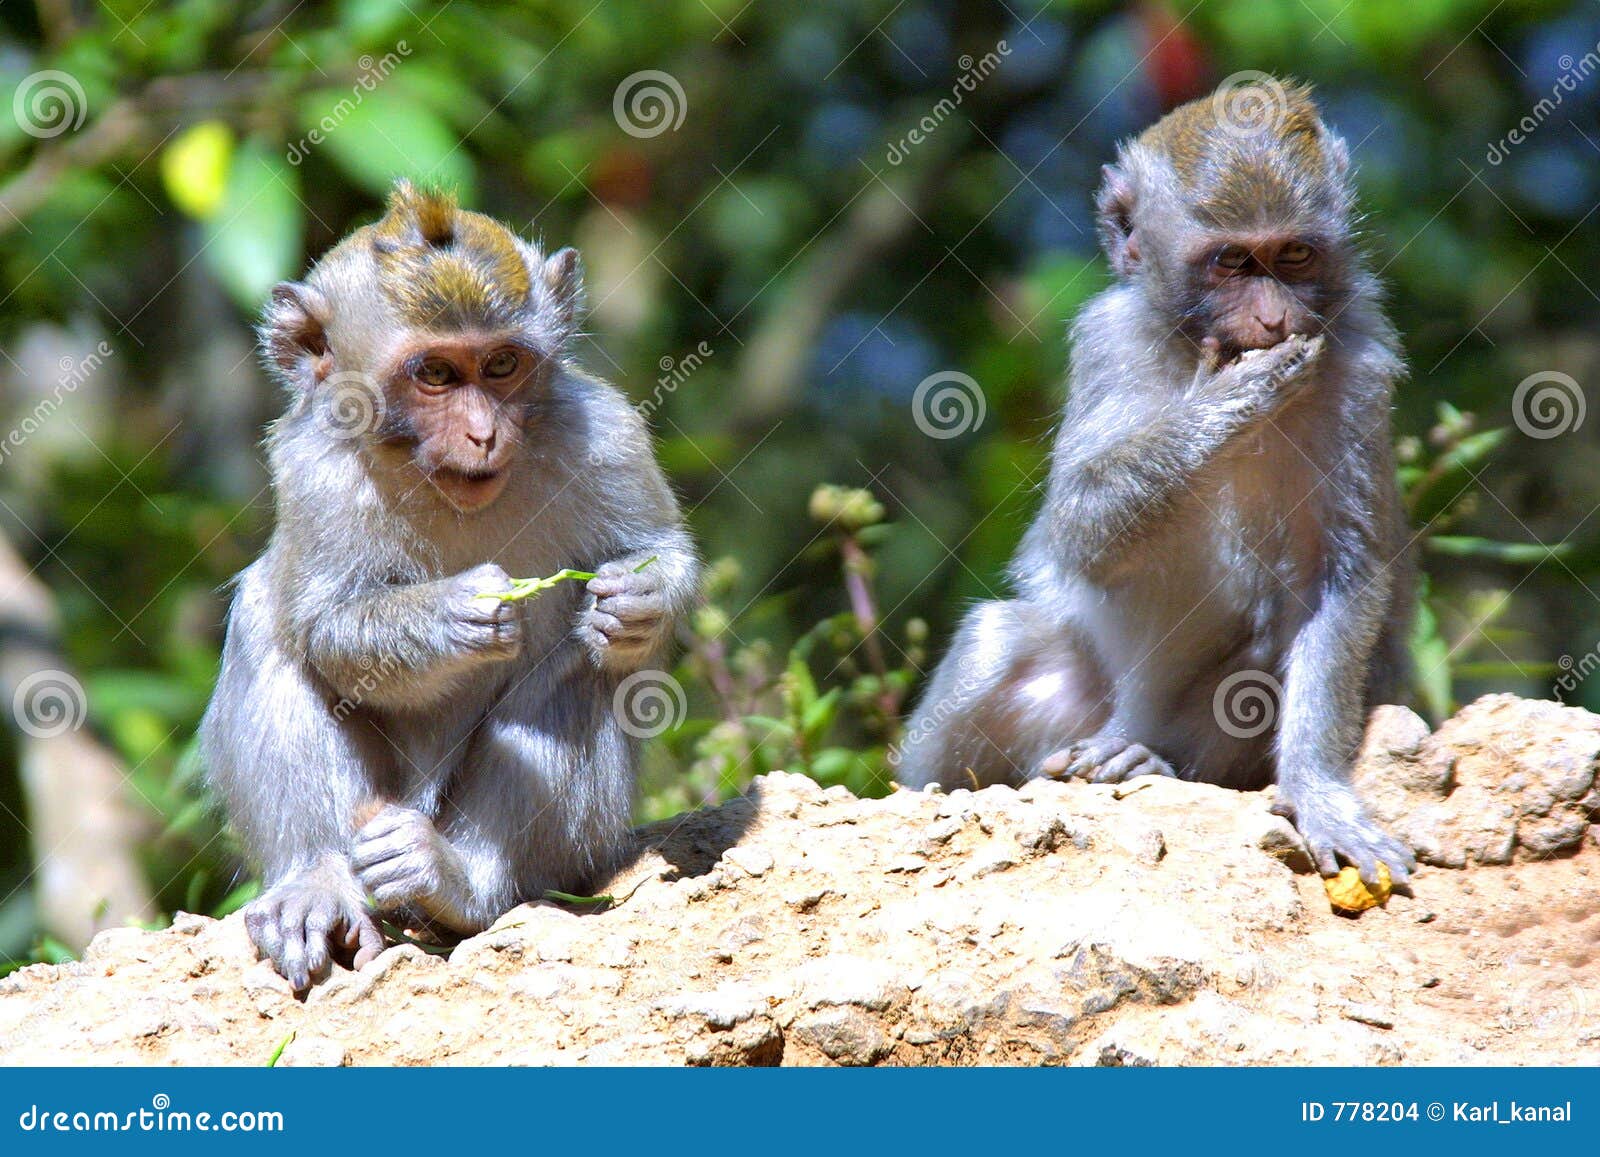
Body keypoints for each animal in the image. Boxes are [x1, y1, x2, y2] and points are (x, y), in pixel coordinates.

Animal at [199, 180, 699, 991]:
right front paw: (463, 612)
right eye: (434, 374)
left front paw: (640, 605)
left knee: (581, 673)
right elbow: (325, 627)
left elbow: (661, 551)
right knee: (267, 628)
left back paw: (457, 882)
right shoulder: (315, 471)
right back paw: (315, 881)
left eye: (500, 365)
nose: (483, 434)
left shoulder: (607, 430)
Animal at [896, 79, 1416, 886]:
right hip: (1068, 723)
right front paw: (1229, 401)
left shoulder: (1361, 366)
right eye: (1232, 262)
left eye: (1294, 254)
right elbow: (1078, 528)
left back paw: (1150, 760)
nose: (1275, 320)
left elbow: (1343, 575)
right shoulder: (1106, 340)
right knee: (1000, 639)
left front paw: (1318, 792)